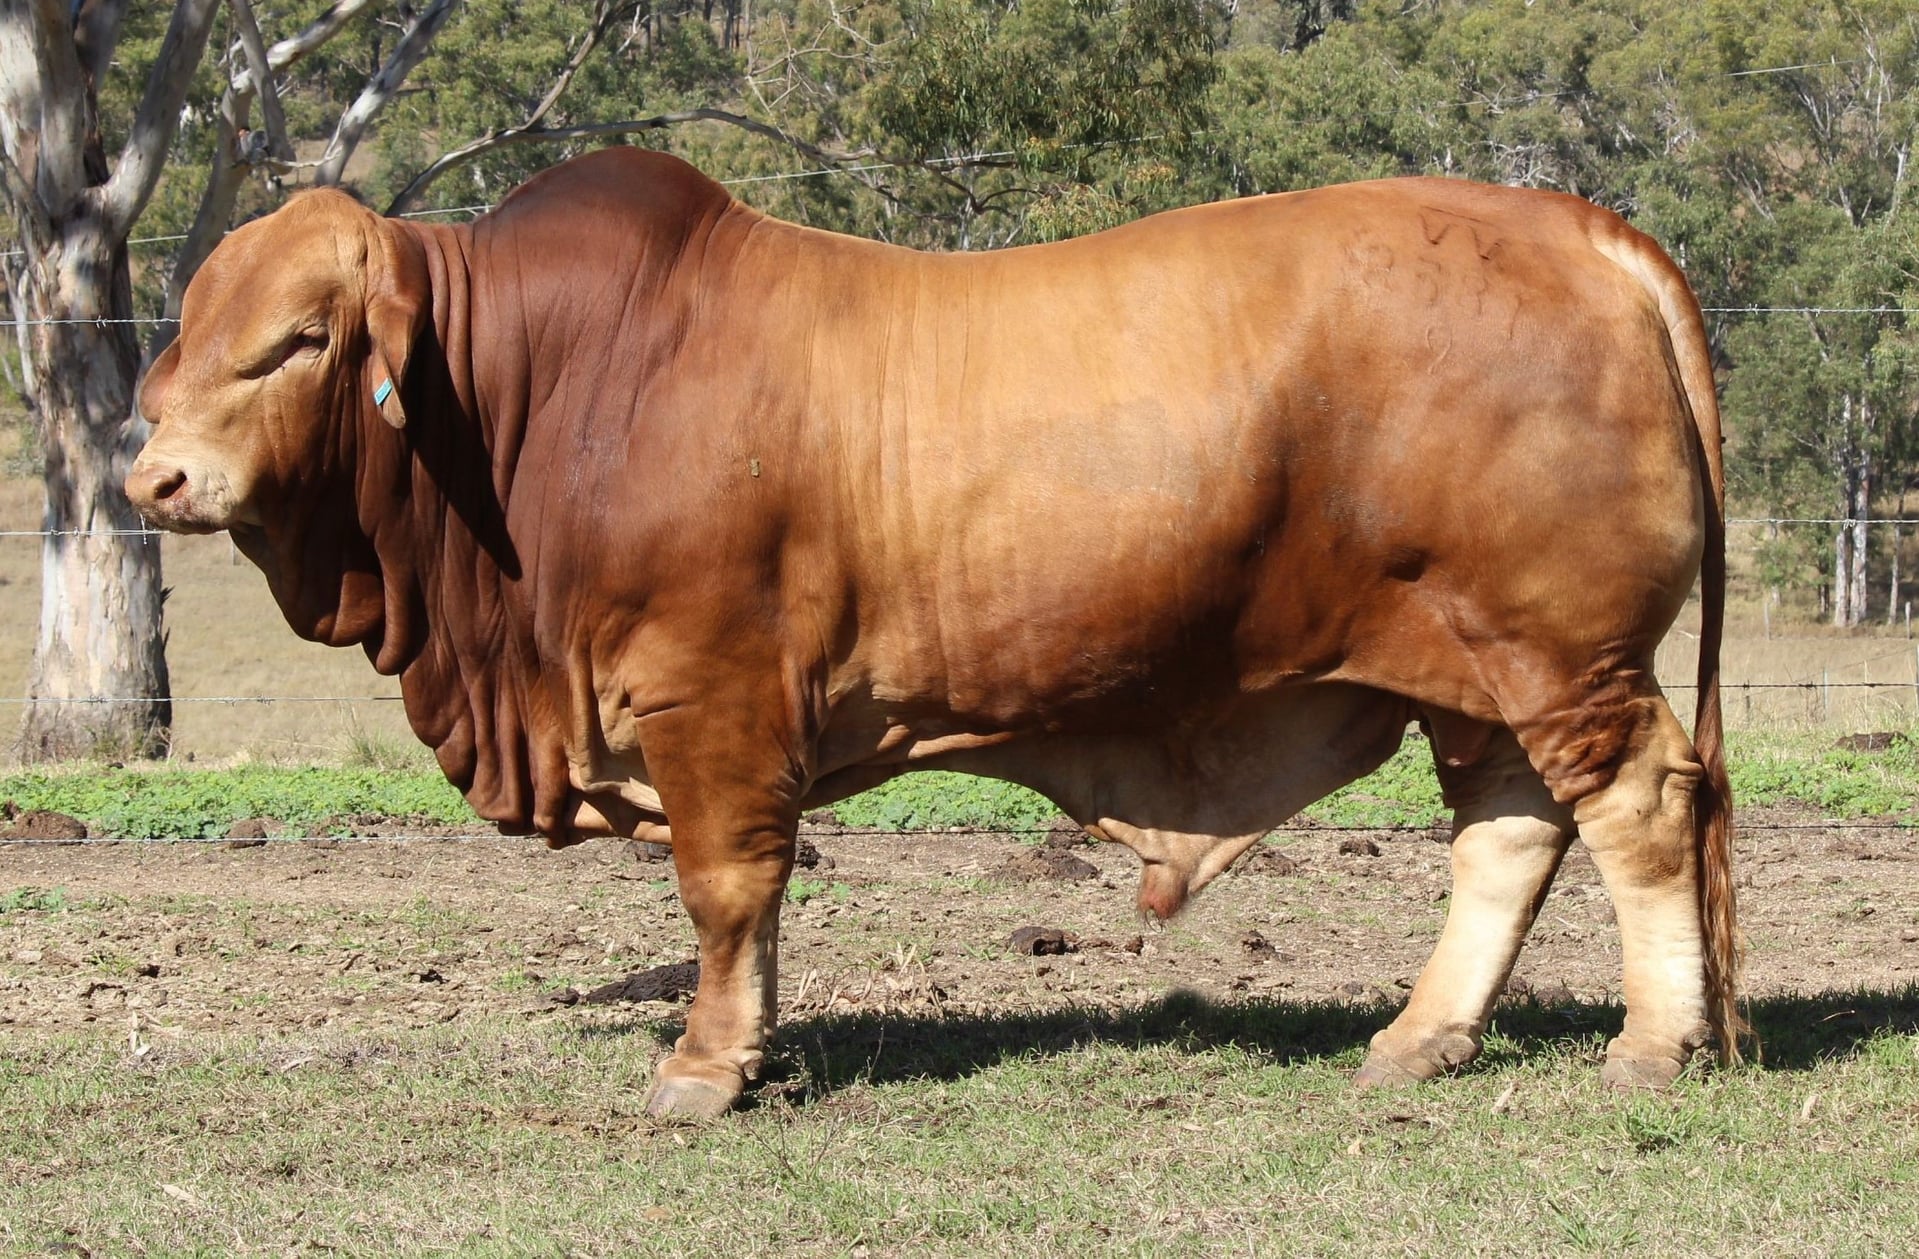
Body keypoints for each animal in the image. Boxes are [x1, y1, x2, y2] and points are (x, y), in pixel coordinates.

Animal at [127, 147, 1739, 1120]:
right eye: (190, 328)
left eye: (299, 340)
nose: (157, 479)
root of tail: (1579, 229)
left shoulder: (708, 691)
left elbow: (726, 887)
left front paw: (705, 1067)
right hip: (1476, 670)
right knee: (1508, 829)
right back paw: (1418, 1035)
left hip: (1559, 652)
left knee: (1639, 809)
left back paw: (1651, 1043)